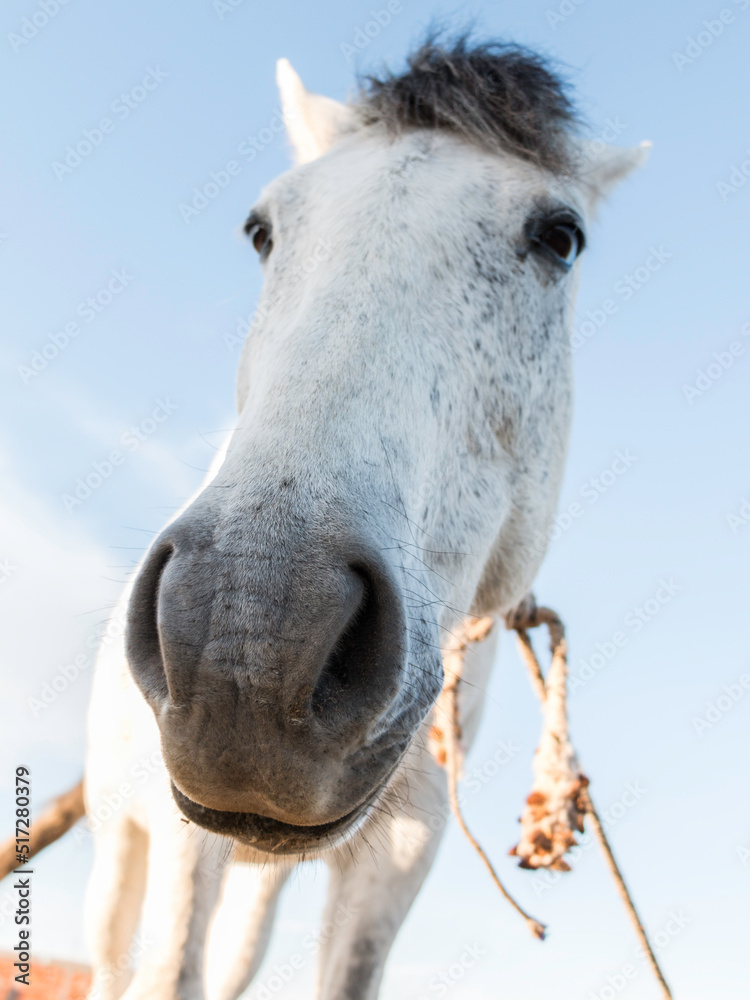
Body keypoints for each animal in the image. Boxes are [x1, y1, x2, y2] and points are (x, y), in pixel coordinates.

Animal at [82, 39, 648, 1000]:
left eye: (560, 237)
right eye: (262, 230)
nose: (247, 647)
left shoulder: (401, 858)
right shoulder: (181, 845)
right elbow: (167, 973)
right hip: (121, 847)